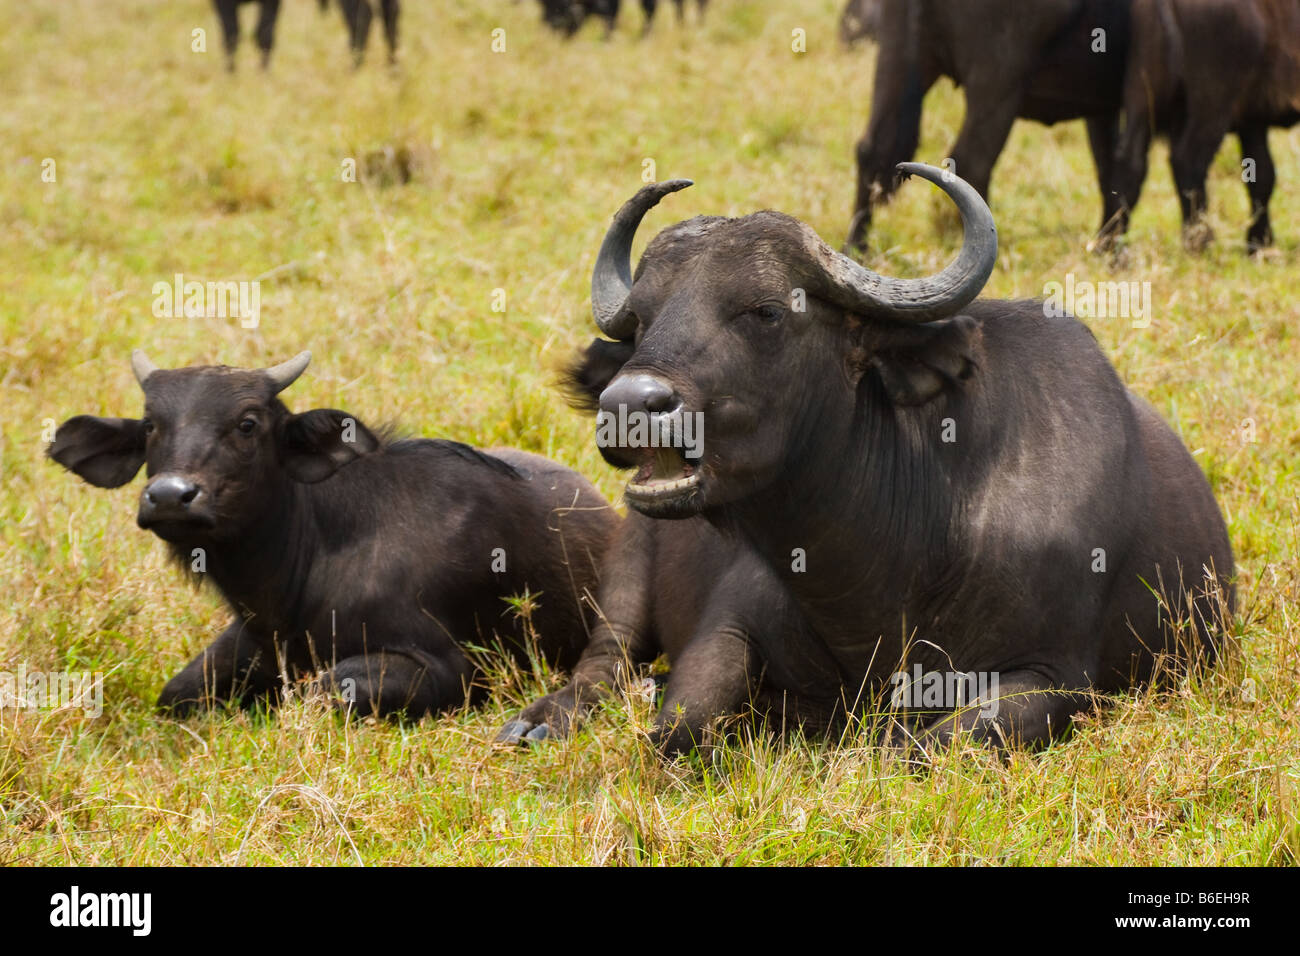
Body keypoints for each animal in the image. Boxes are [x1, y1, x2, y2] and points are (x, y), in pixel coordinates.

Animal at [48, 352, 616, 718]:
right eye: (150, 426)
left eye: (248, 423)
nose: (170, 495)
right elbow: (177, 693)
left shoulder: (452, 668)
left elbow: (321, 692)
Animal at [514, 168, 1234, 754]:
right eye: (640, 319)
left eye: (767, 311)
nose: (630, 404)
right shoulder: (727, 622)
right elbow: (679, 726)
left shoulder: (1057, 677)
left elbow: (914, 744)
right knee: (604, 659)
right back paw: (539, 720)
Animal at [847, 0, 1132, 253]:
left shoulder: (1102, 109)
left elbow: (1109, 172)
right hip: (999, 84)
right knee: (972, 162)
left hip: (901, 54)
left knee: (875, 149)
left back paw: (857, 247)